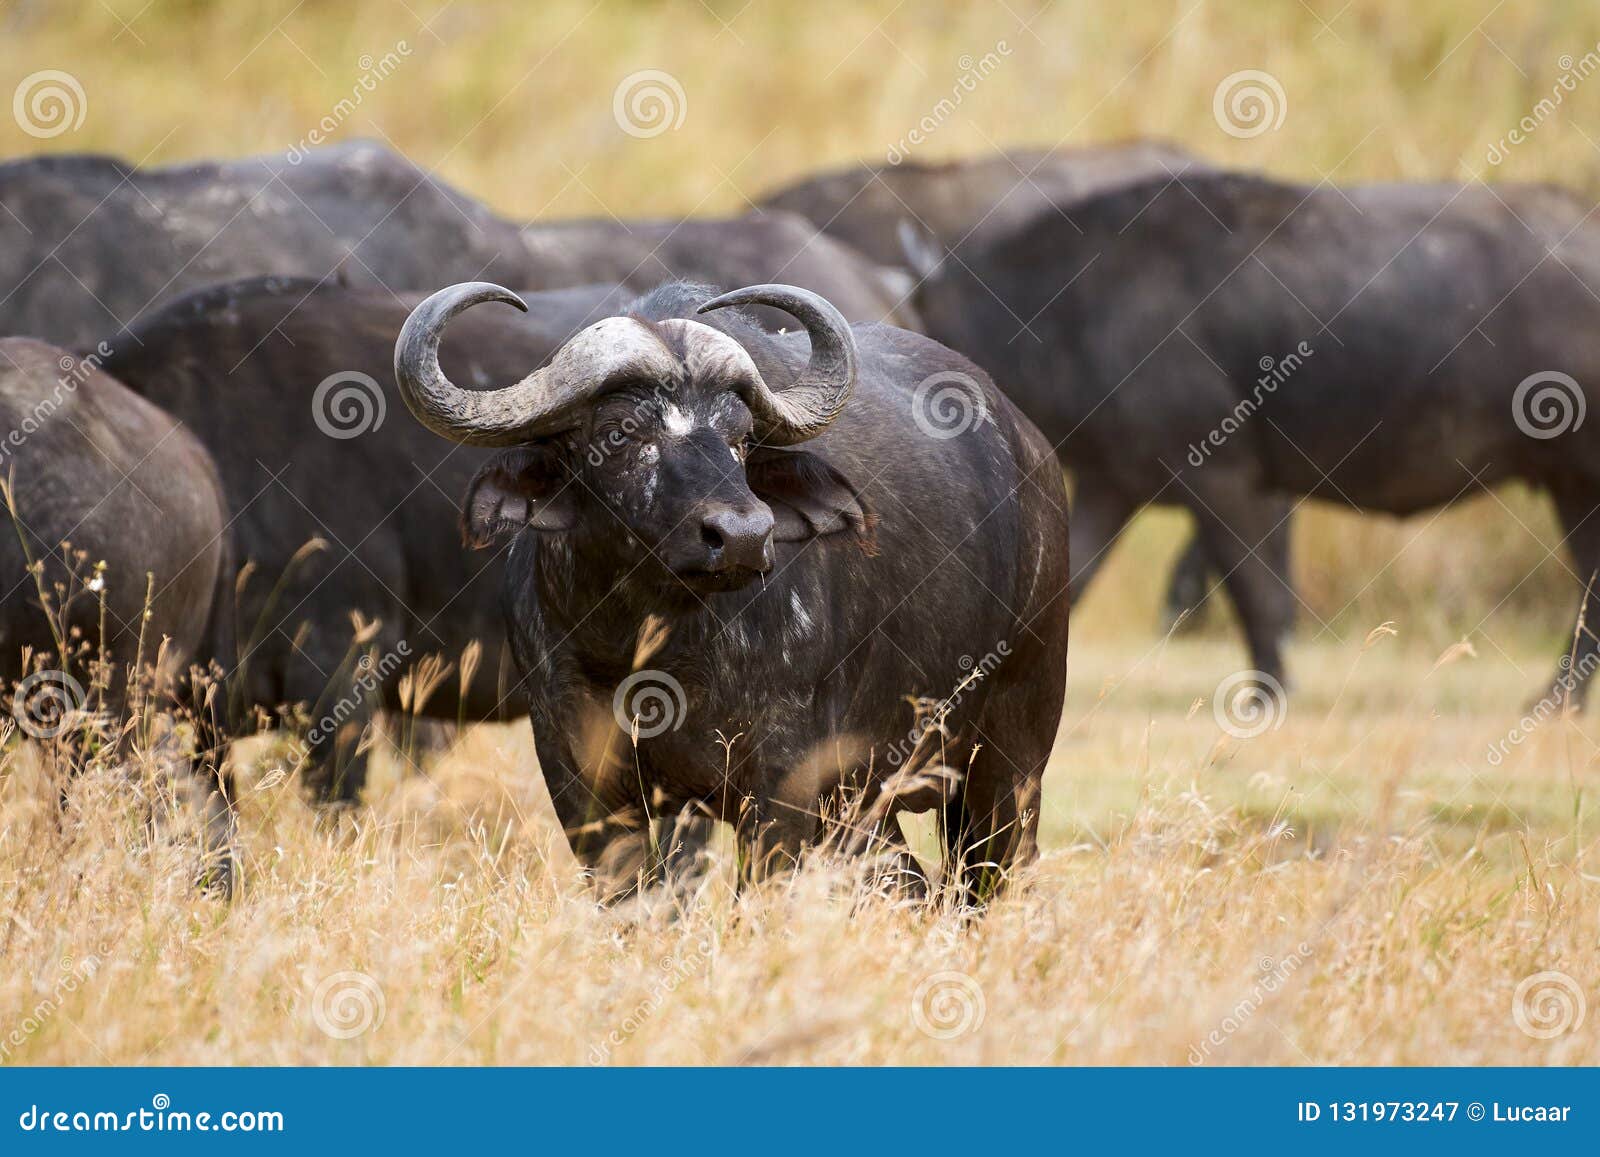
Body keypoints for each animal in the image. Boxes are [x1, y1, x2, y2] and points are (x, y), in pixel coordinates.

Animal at [393, 280, 1071, 900]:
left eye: (740, 438)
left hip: (1010, 761)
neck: (647, 646)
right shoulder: (580, 775)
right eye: (620, 433)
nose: (744, 536)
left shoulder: (781, 782)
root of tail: (1031, 451)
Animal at [910, 172, 1600, 704]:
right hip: (1572, 483)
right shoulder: (1112, 484)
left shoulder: (1224, 480)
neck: (1080, 306)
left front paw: (1270, 694)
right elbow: (1070, 580)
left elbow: (1257, 593)